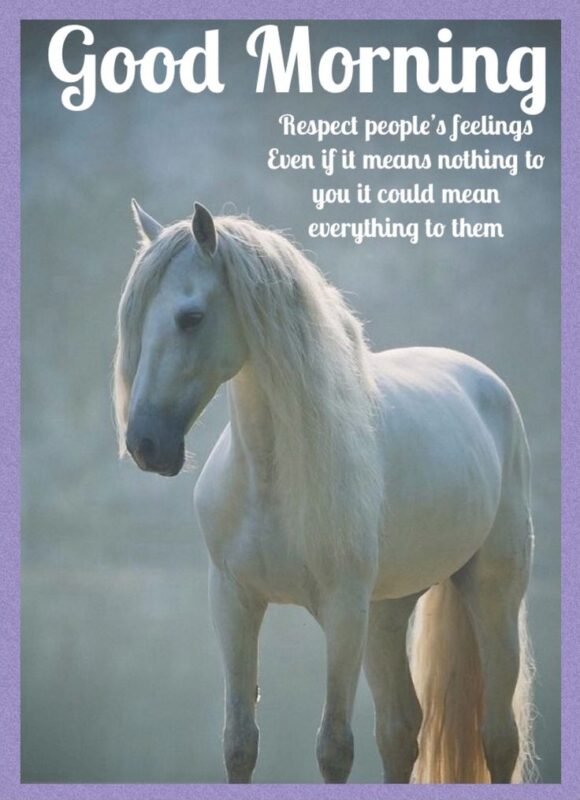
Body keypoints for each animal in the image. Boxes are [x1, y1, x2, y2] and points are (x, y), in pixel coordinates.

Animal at [113, 200, 536, 784]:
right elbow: (239, 742)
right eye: (133, 320)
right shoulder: (233, 602)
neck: (270, 478)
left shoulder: (342, 611)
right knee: (400, 731)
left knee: (496, 737)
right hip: (386, 612)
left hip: (491, 594)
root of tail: (484, 382)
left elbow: (334, 748)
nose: (145, 444)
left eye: (190, 317)